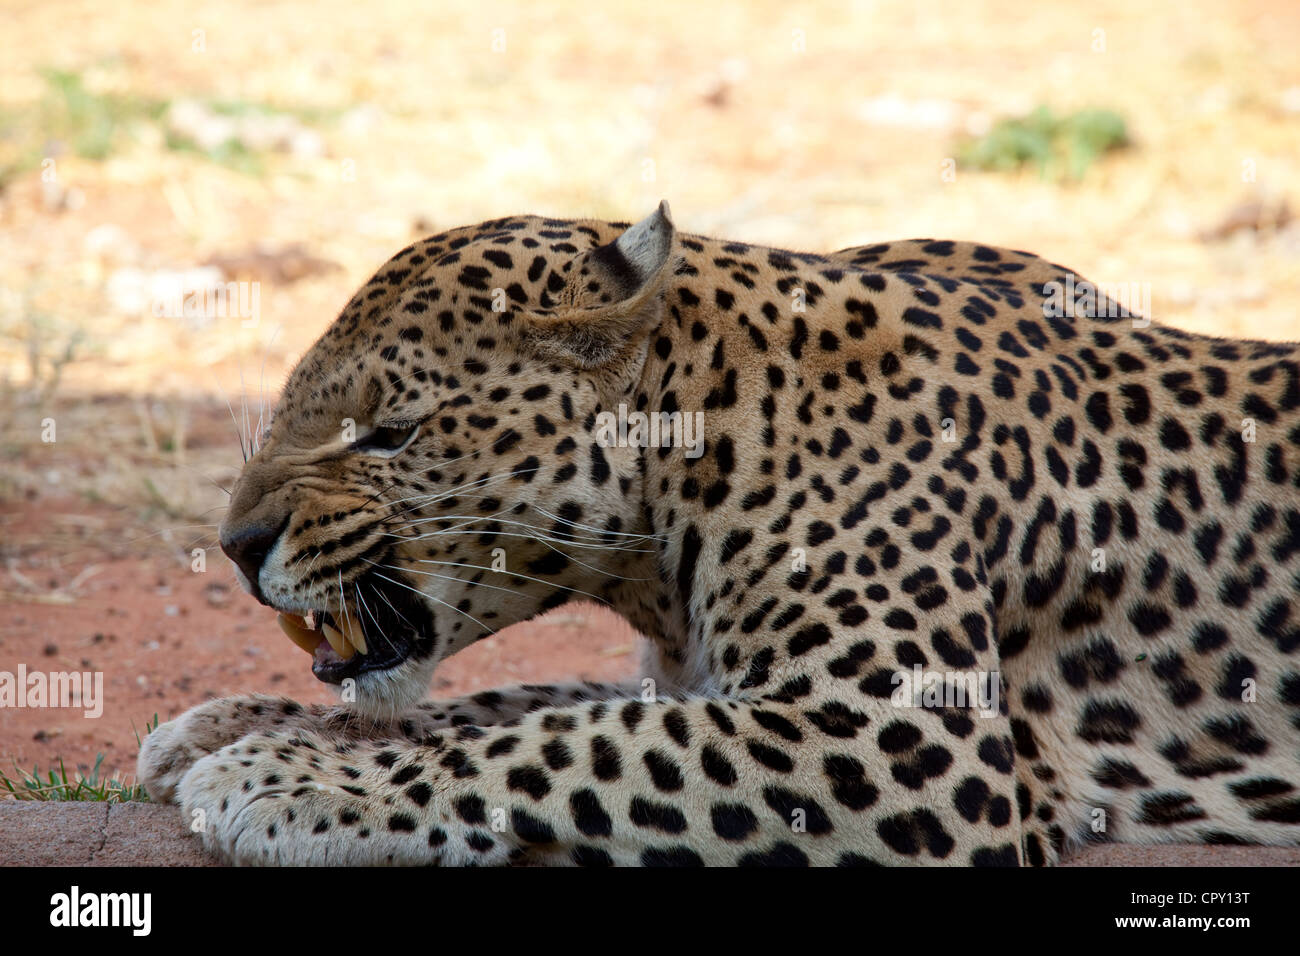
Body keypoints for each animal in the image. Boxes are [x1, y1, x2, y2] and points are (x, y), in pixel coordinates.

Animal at [139, 201, 1300, 866]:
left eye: (390, 432)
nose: (236, 544)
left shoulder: (905, 741)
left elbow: (567, 740)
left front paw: (287, 779)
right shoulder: (697, 678)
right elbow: (515, 703)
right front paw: (231, 726)